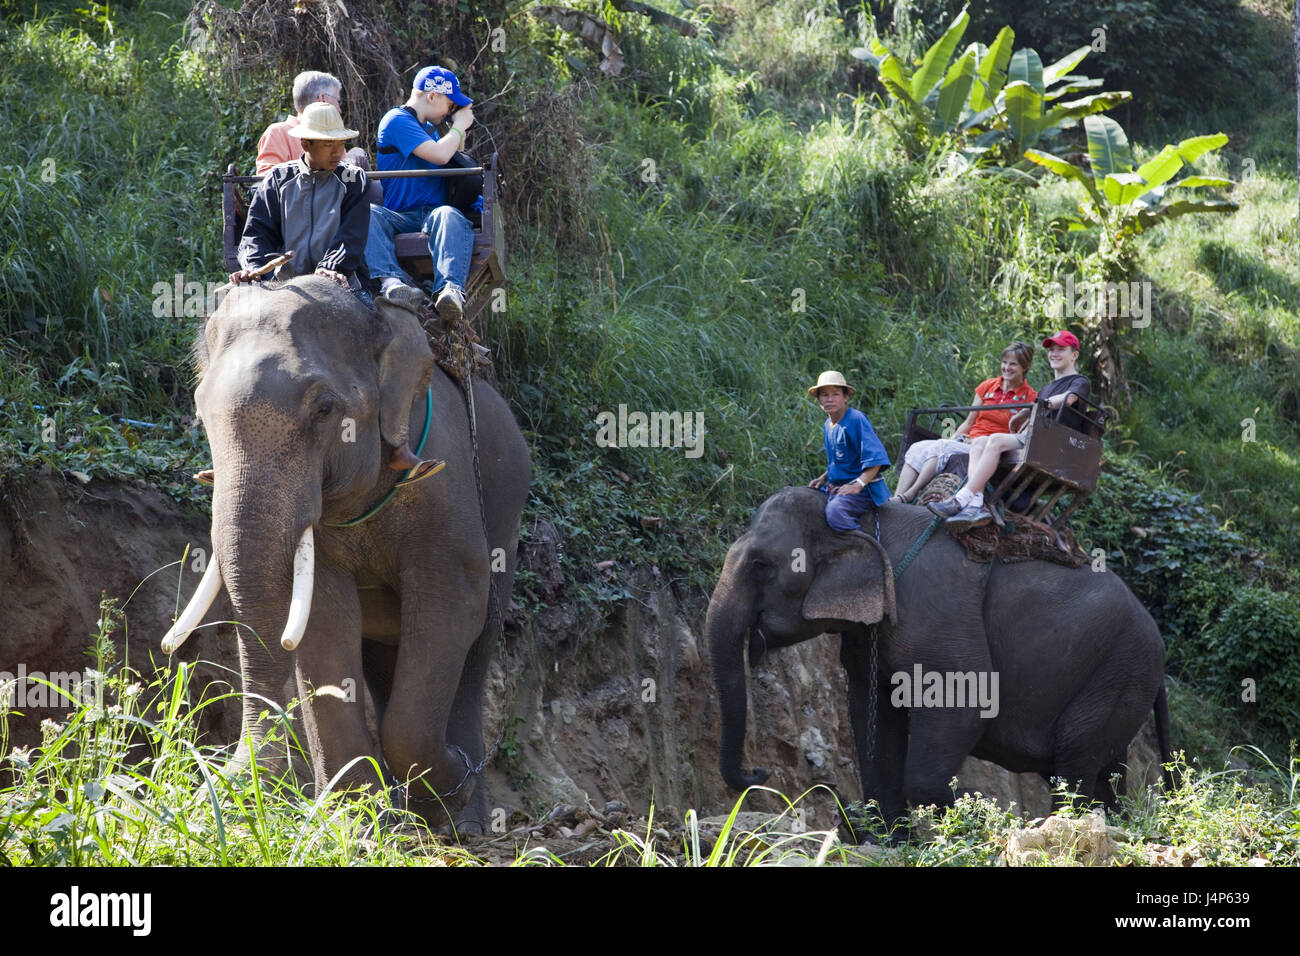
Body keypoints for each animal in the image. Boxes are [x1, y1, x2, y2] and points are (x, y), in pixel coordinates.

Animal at [162, 274, 530, 833]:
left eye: (324, 408)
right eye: (201, 412)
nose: (231, 780)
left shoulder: (445, 480)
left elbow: (451, 604)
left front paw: (441, 793)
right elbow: (324, 621)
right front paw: (353, 822)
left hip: (506, 509)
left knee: (480, 640)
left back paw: (462, 814)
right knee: (382, 655)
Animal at [706, 486, 1172, 826]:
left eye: (761, 565)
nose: (759, 774)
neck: (861, 519)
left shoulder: (935, 615)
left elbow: (963, 707)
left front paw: (982, 812)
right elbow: (871, 714)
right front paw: (891, 839)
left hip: (1119, 671)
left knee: (1073, 766)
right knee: (1098, 773)